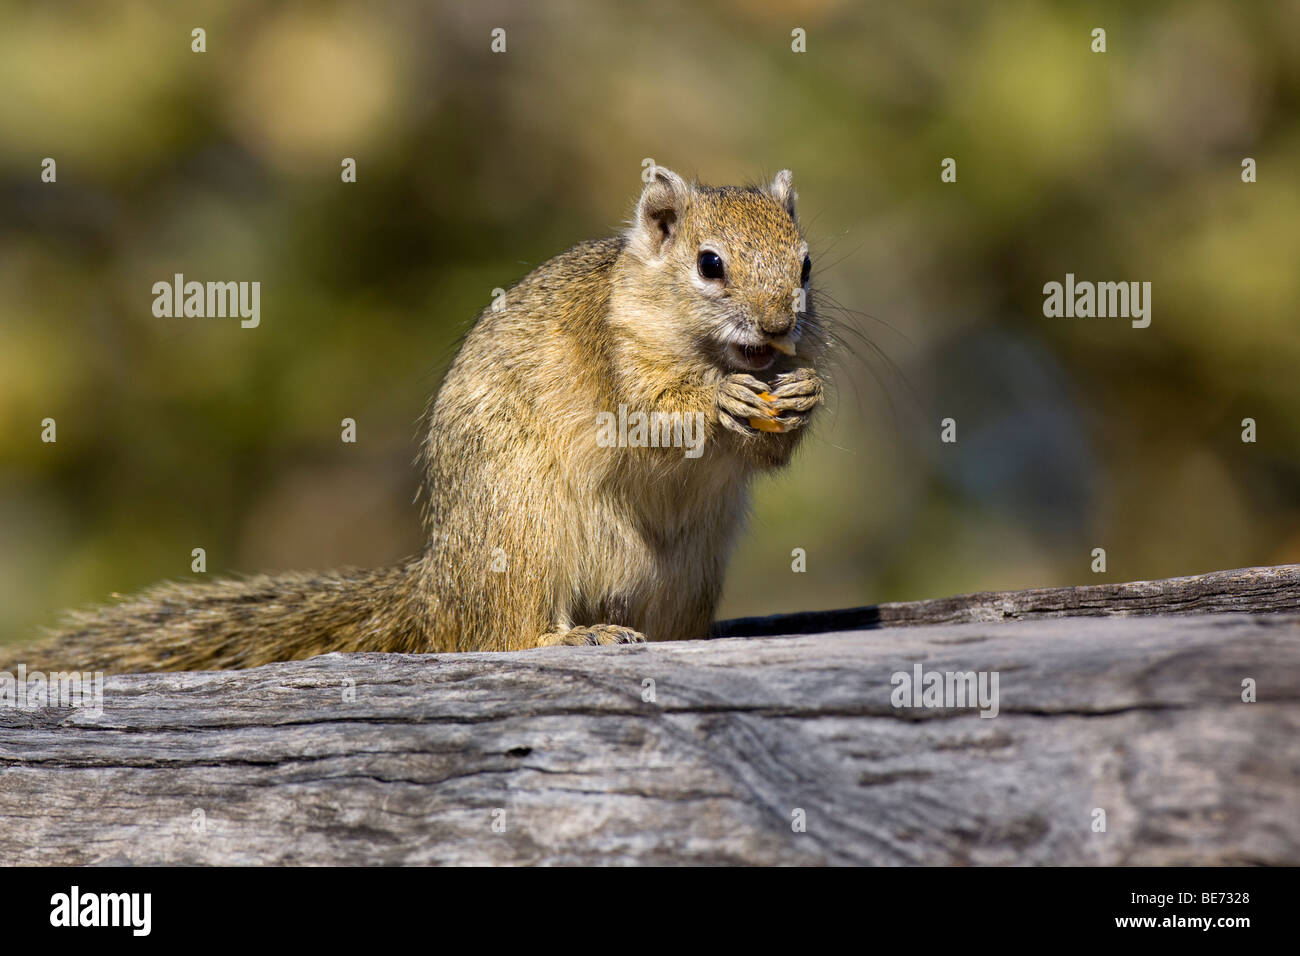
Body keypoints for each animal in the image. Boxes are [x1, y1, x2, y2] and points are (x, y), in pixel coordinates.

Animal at [4, 167, 826, 673]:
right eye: (710, 264)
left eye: (806, 264)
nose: (779, 327)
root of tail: (437, 588)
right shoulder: (613, 359)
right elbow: (647, 417)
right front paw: (717, 401)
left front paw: (801, 396)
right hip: (520, 537)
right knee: (495, 636)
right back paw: (570, 633)